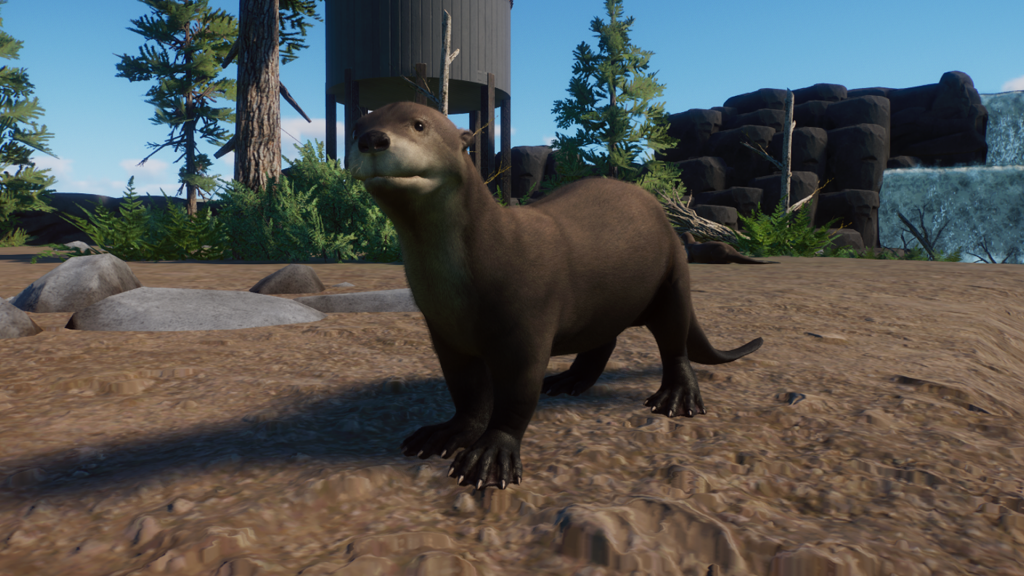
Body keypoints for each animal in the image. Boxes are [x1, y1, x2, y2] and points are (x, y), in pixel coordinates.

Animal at [347, 102, 763, 490]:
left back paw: (677, 398)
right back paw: (569, 381)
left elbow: (516, 397)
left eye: (419, 125)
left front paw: (492, 453)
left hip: (673, 277)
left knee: (674, 343)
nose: (373, 139)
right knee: (603, 342)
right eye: (356, 126)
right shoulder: (445, 334)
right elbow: (467, 391)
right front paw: (449, 432)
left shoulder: (527, 329)